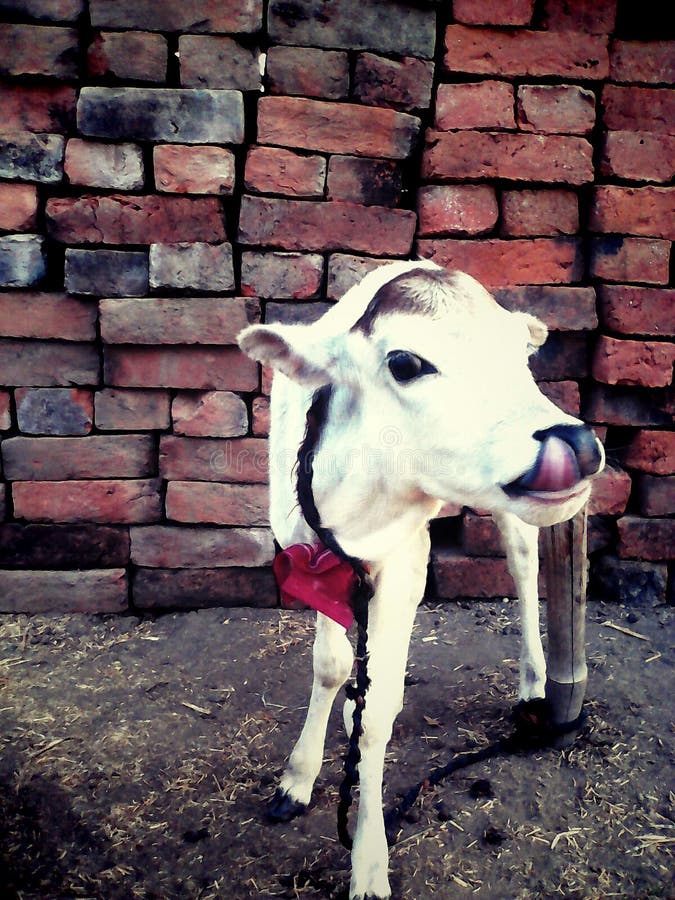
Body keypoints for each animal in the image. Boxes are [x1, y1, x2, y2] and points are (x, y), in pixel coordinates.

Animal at [238, 260, 604, 900]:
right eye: (405, 363)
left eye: (518, 354)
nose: (576, 443)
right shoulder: (305, 548)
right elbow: (332, 666)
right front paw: (297, 777)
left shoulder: (404, 559)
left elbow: (378, 707)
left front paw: (367, 864)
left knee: (522, 561)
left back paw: (537, 680)